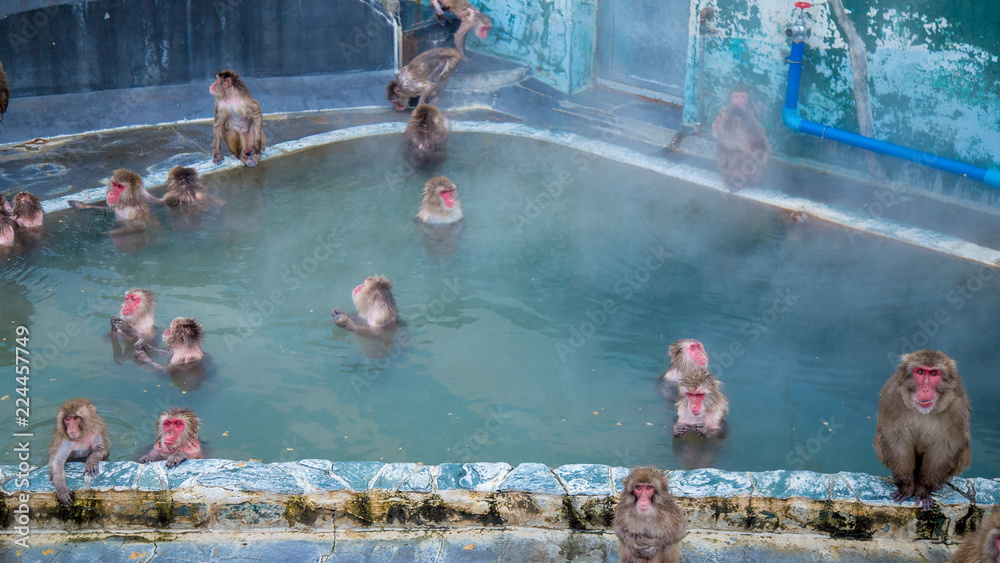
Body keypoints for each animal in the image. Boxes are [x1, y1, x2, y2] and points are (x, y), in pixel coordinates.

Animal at [874, 350, 971, 511]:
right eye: (920, 372)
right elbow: (896, 439)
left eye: (934, 374)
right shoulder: (892, 397)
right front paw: (907, 486)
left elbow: (944, 447)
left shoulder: (957, 407)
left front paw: (923, 489)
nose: (925, 389)